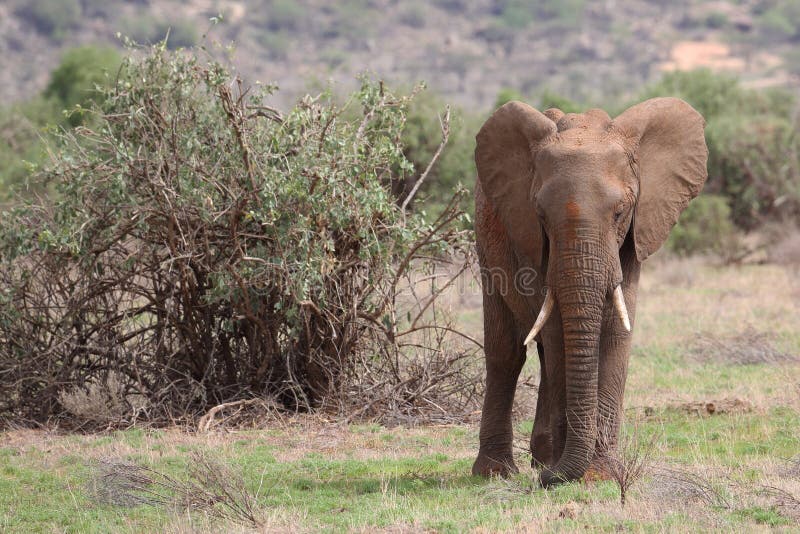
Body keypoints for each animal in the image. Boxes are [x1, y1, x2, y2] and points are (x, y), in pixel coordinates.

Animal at [471, 98, 708, 486]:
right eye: (540, 214)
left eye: (620, 212)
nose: (548, 479)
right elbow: (557, 333)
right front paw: (569, 471)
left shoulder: (634, 237)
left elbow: (617, 328)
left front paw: (598, 475)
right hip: (486, 246)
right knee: (507, 351)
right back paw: (500, 471)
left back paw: (542, 458)